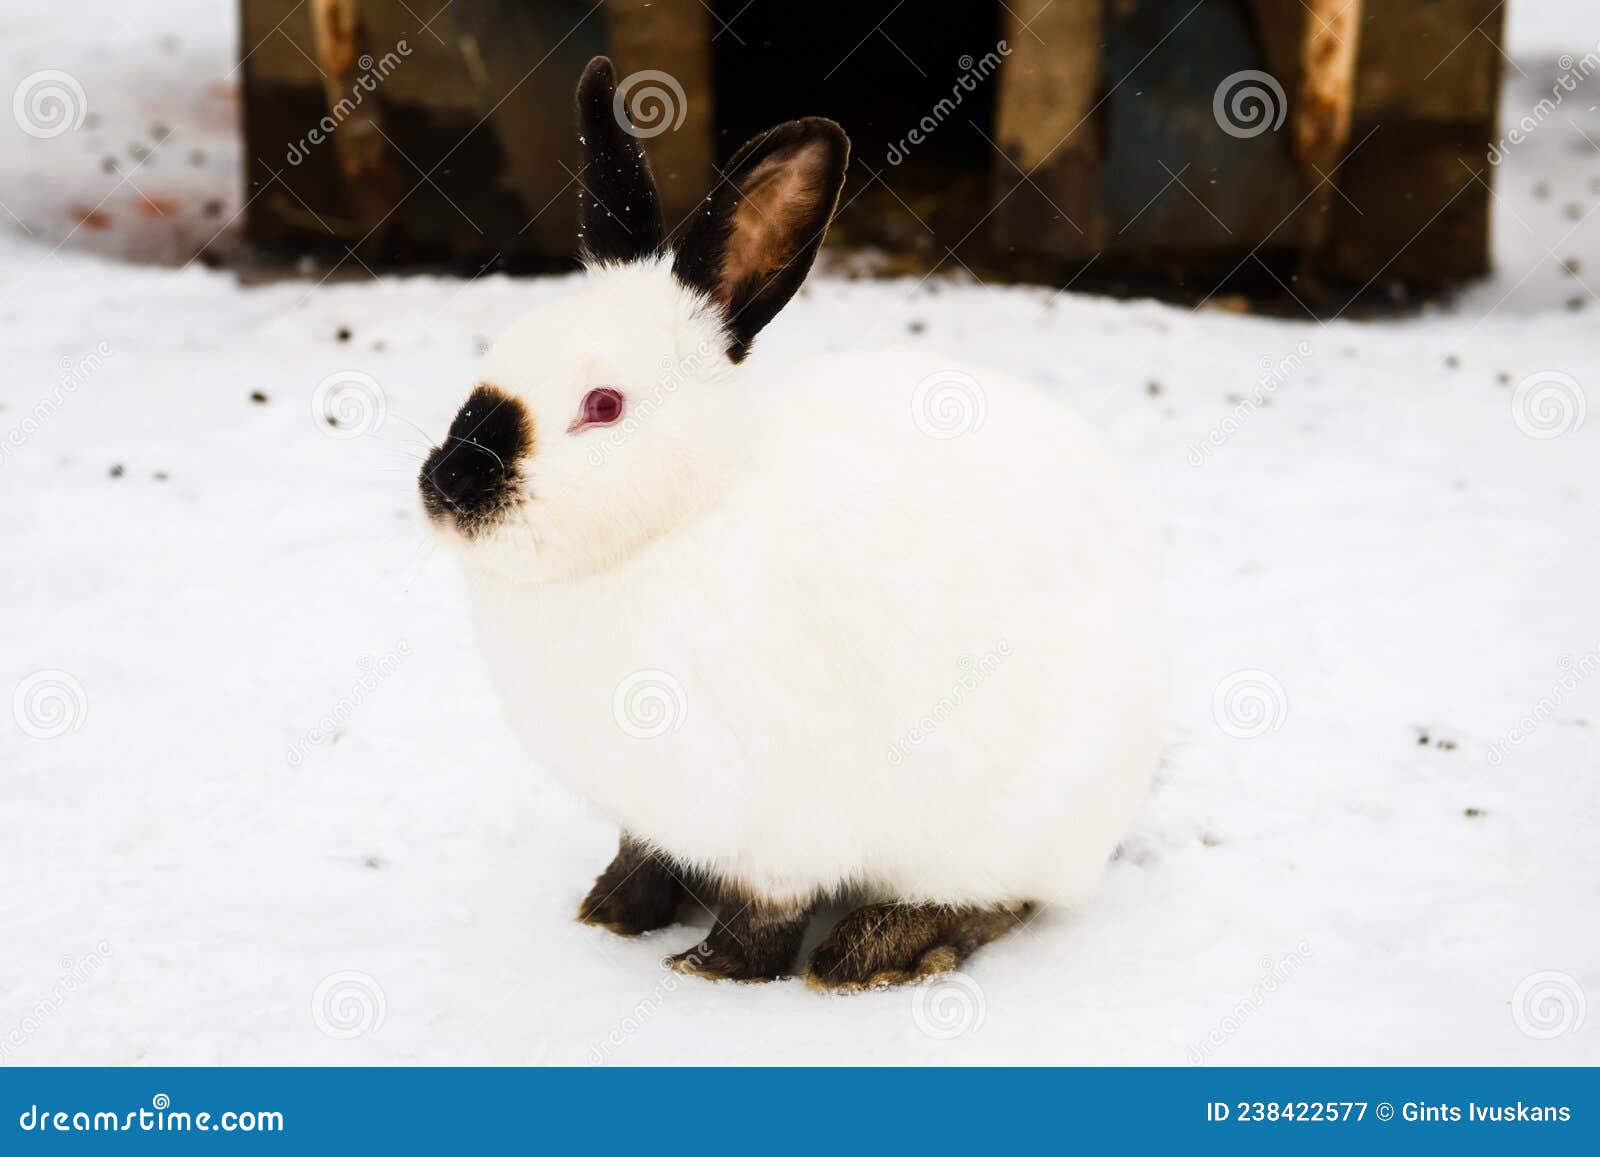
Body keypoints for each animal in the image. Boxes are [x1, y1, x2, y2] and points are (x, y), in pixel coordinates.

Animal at [418, 56, 1167, 990]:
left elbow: (764, 916)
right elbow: (643, 856)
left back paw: (874, 951)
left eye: (603, 405)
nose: (445, 485)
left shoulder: (776, 820)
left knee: (1005, 898)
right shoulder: (651, 808)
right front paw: (609, 914)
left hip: (1006, 821)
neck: (687, 511)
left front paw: (706, 970)